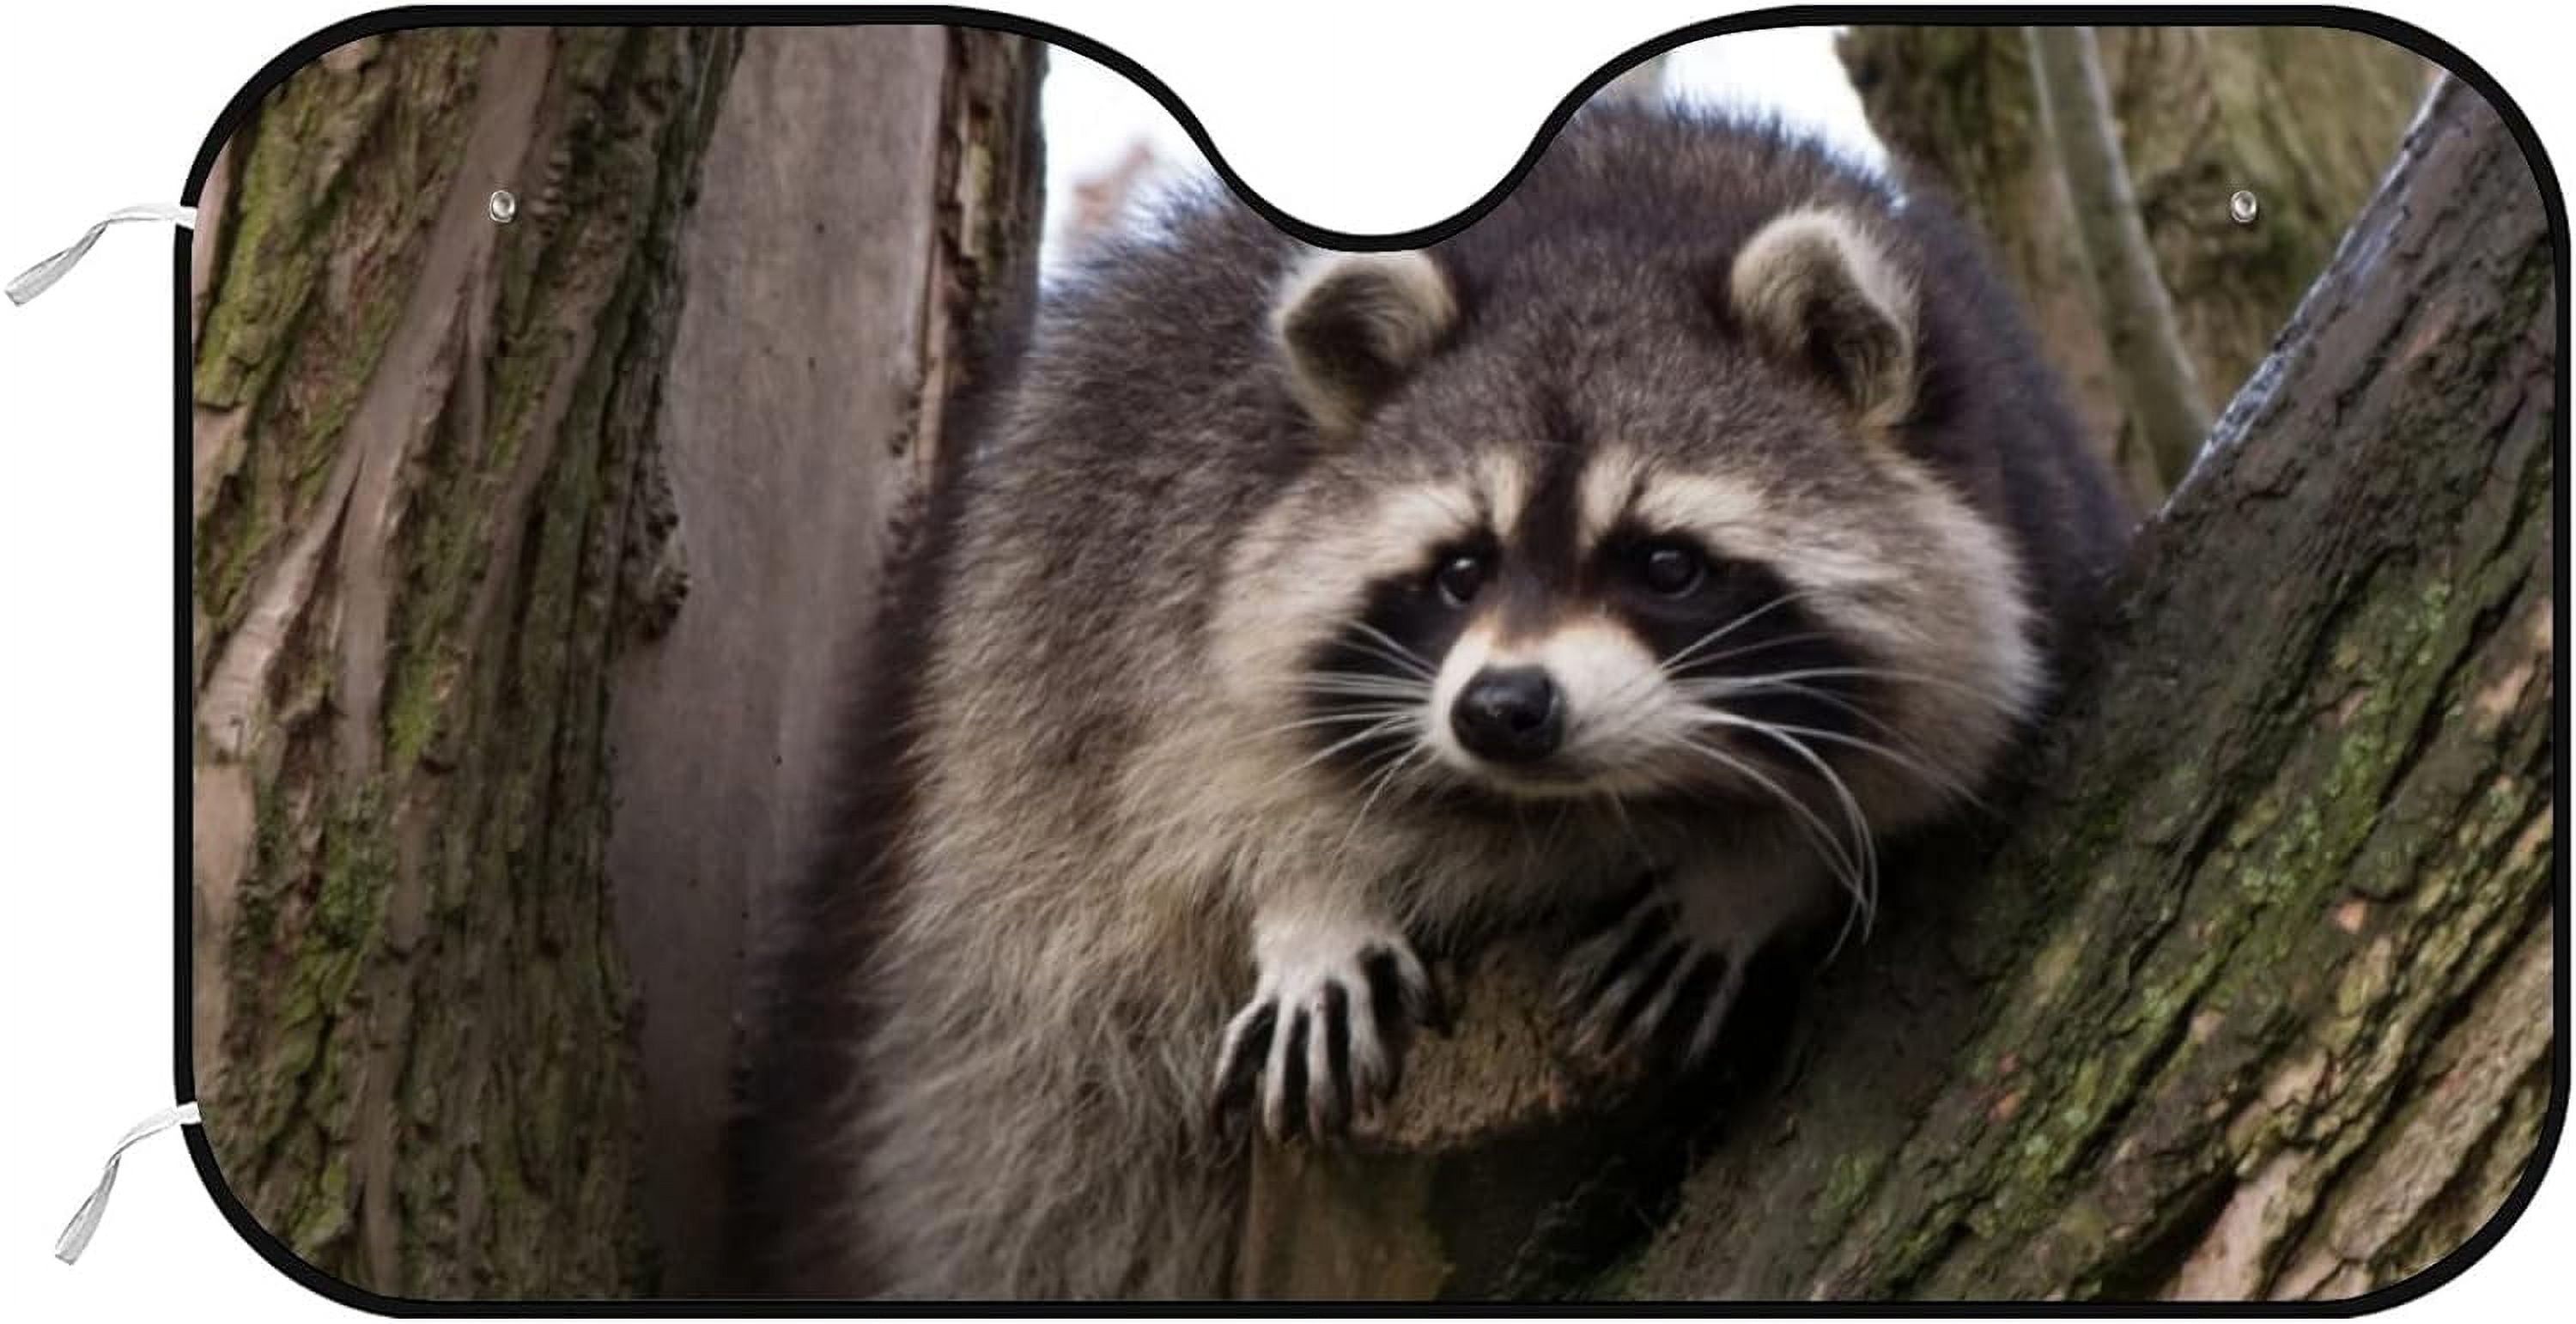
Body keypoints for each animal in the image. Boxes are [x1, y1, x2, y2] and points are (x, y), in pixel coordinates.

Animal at [726, 103, 2129, 1299]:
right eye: (1460, 570)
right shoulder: (1148, 556)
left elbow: (1938, 761)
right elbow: (1169, 777)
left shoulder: (2033, 512)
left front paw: (1758, 870)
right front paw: (1302, 893)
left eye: (1666, 564)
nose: (1504, 709)